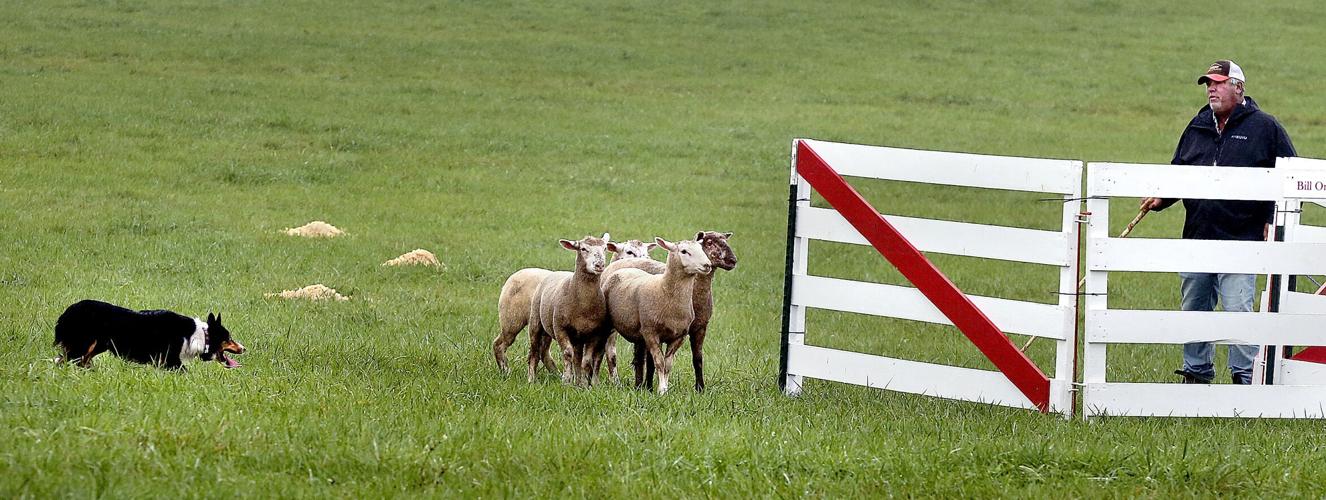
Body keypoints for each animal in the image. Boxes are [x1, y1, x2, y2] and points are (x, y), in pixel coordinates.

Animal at [526, 235, 617, 386]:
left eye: (605, 248)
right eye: (583, 249)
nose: (599, 265)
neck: (582, 304)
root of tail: (555, 272)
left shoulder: (595, 333)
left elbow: (586, 361)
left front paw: (584, 385)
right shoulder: (560, 328)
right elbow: (567, 354)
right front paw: (566, 381)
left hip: (578, 337)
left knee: (578, 359)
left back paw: (579, 382)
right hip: (535, 322)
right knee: (534, 352)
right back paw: (531, 379)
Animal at [599, 231, 736, 392]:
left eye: (724, 240)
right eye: (709, 242)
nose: (732, 260)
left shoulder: (699, 328)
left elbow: (697, 359)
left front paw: (700, 388)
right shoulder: (653, 331)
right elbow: (655, 361)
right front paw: (652, 387)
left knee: (639, 357)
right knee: (613, 352)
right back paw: (622, 382)